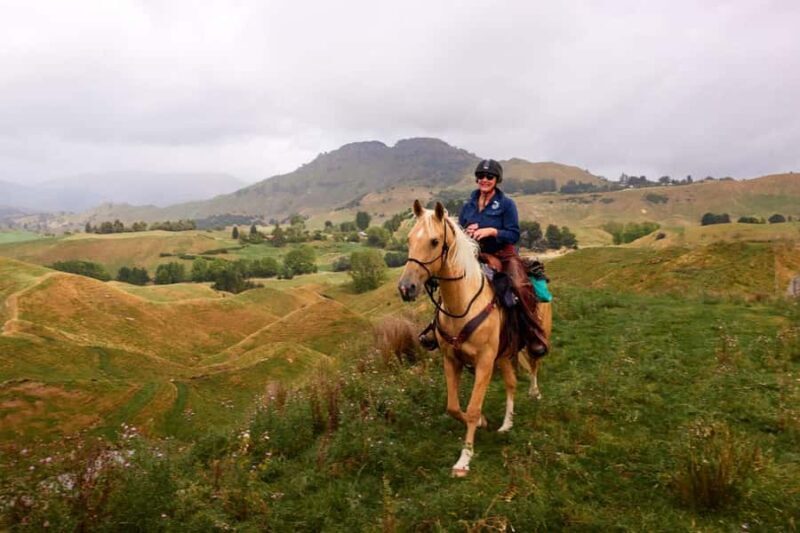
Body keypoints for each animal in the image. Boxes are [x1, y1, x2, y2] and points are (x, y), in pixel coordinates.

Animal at [398, 199, 551, 477]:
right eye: (409, 239)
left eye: (434, 241)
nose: (406, 288)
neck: (462, 303)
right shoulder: (451, 360)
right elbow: (454, 406)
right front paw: (482, 422)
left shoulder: (484, 363)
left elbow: (472, 407)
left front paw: (464, 458)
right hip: (504, 355)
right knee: (511, 384)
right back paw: (506, 424)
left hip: (534, 339)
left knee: (535, 363)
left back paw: (534, 392)